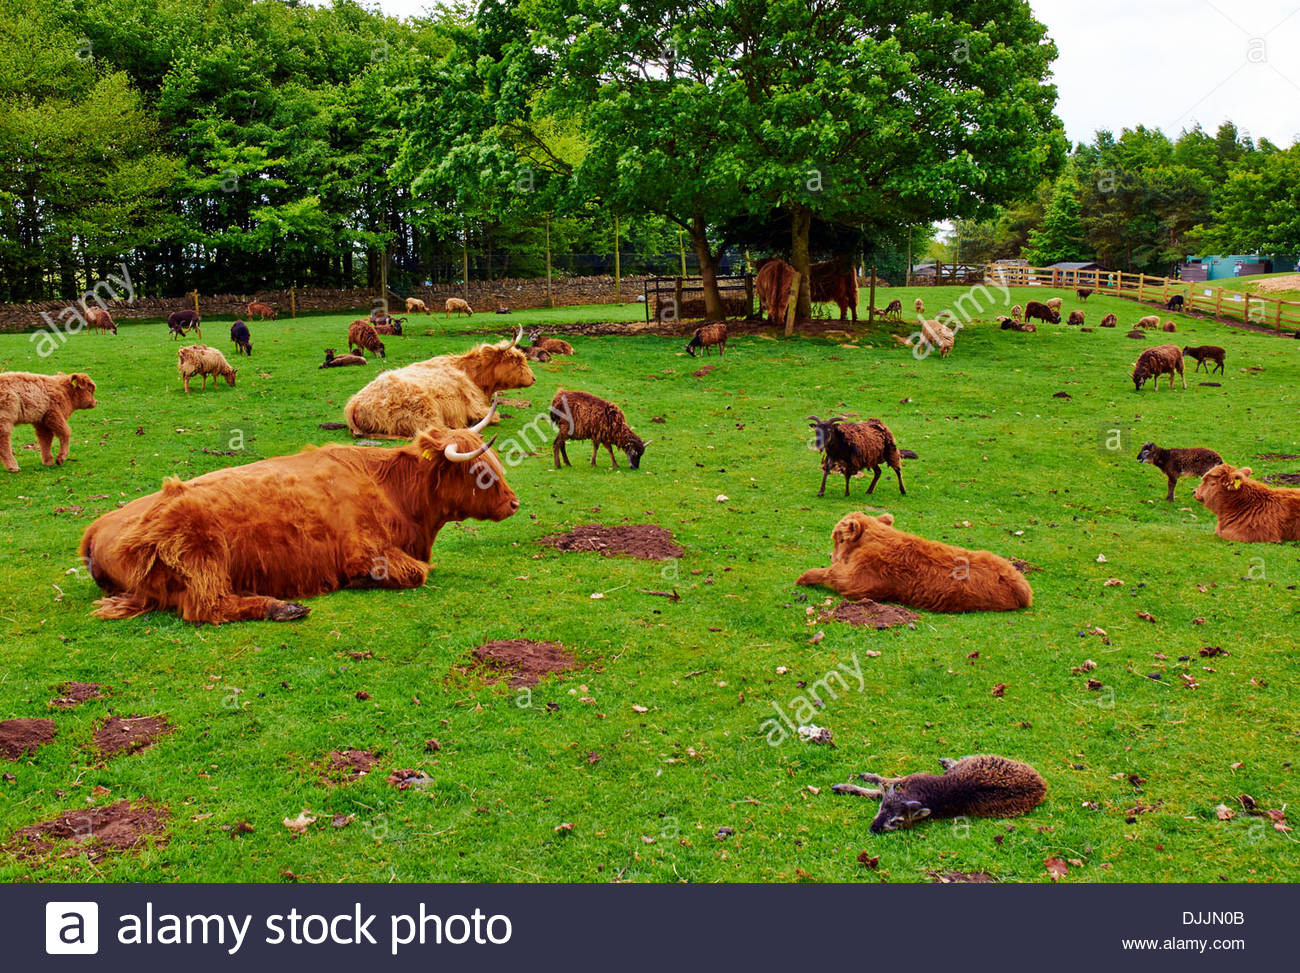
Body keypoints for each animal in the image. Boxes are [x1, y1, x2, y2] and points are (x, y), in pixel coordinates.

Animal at [78, 408, 517, 624]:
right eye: (481, 472)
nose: (514, 503)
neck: (393, 489)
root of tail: (96, 529)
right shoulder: (368, 552)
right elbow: (416, 573)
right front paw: (359, 582)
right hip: (200, 553)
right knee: (205, 608)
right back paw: (280, 607)